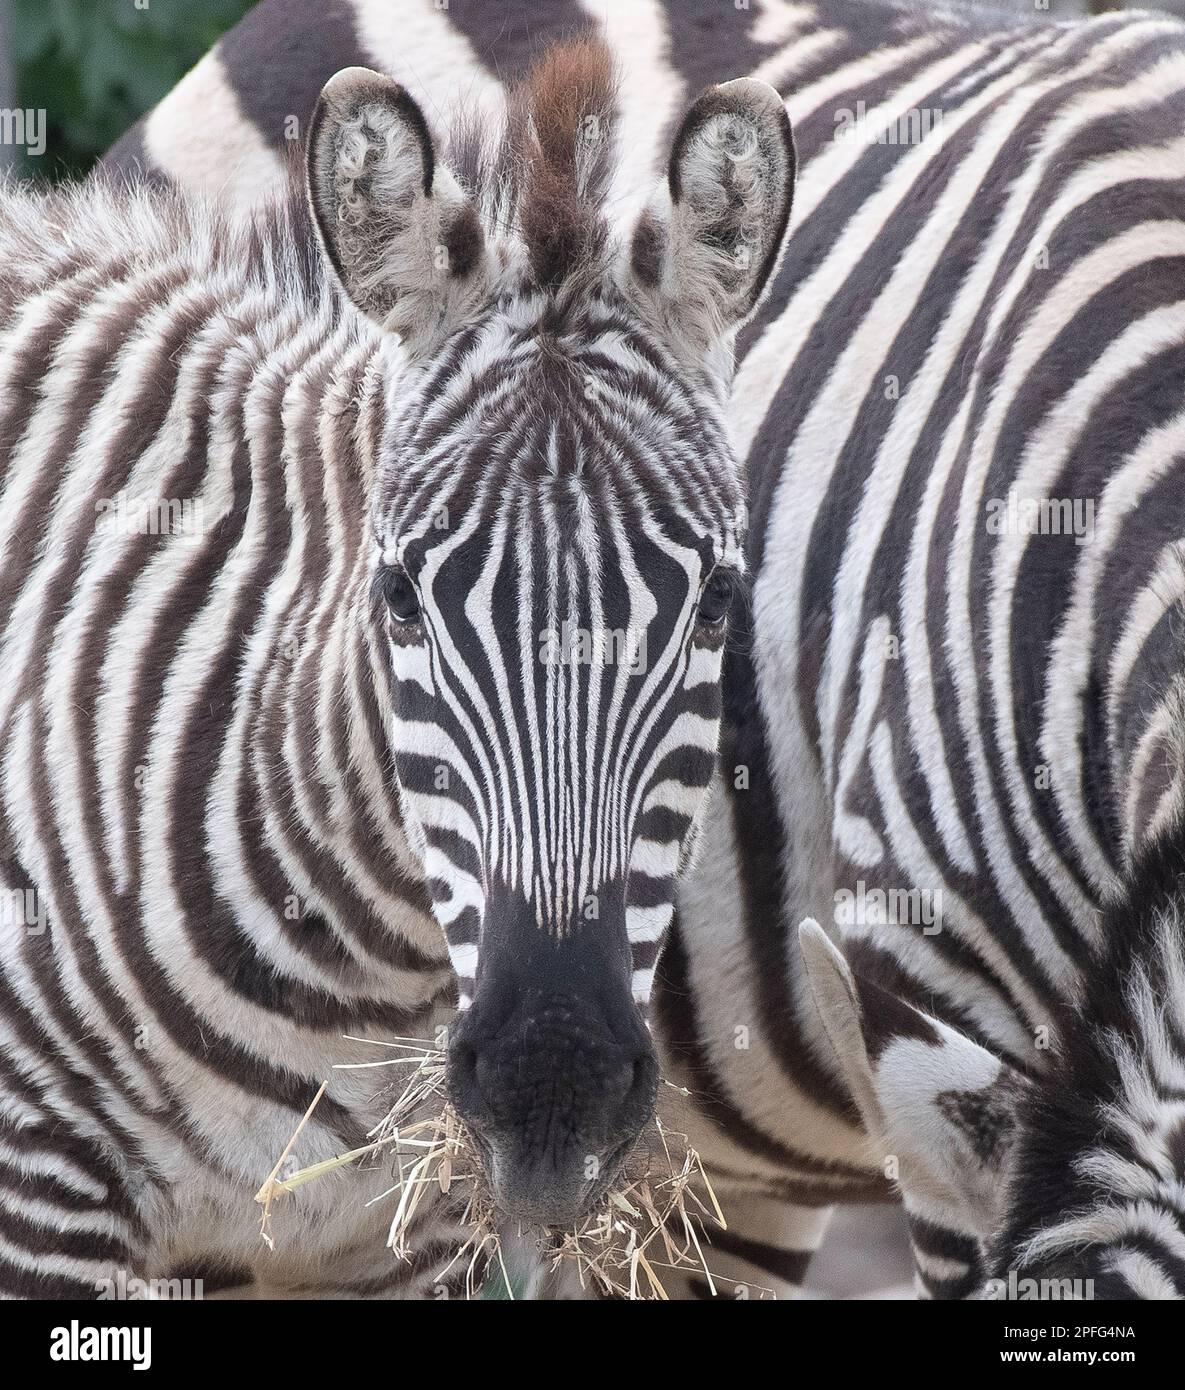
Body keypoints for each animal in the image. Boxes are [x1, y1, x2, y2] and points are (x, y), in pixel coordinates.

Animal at [0, 34, 796, 1296]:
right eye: (400, 596)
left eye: (717, 599)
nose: (552, 1091)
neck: (360, 980)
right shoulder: (42, 1192)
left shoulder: (404, 1232)